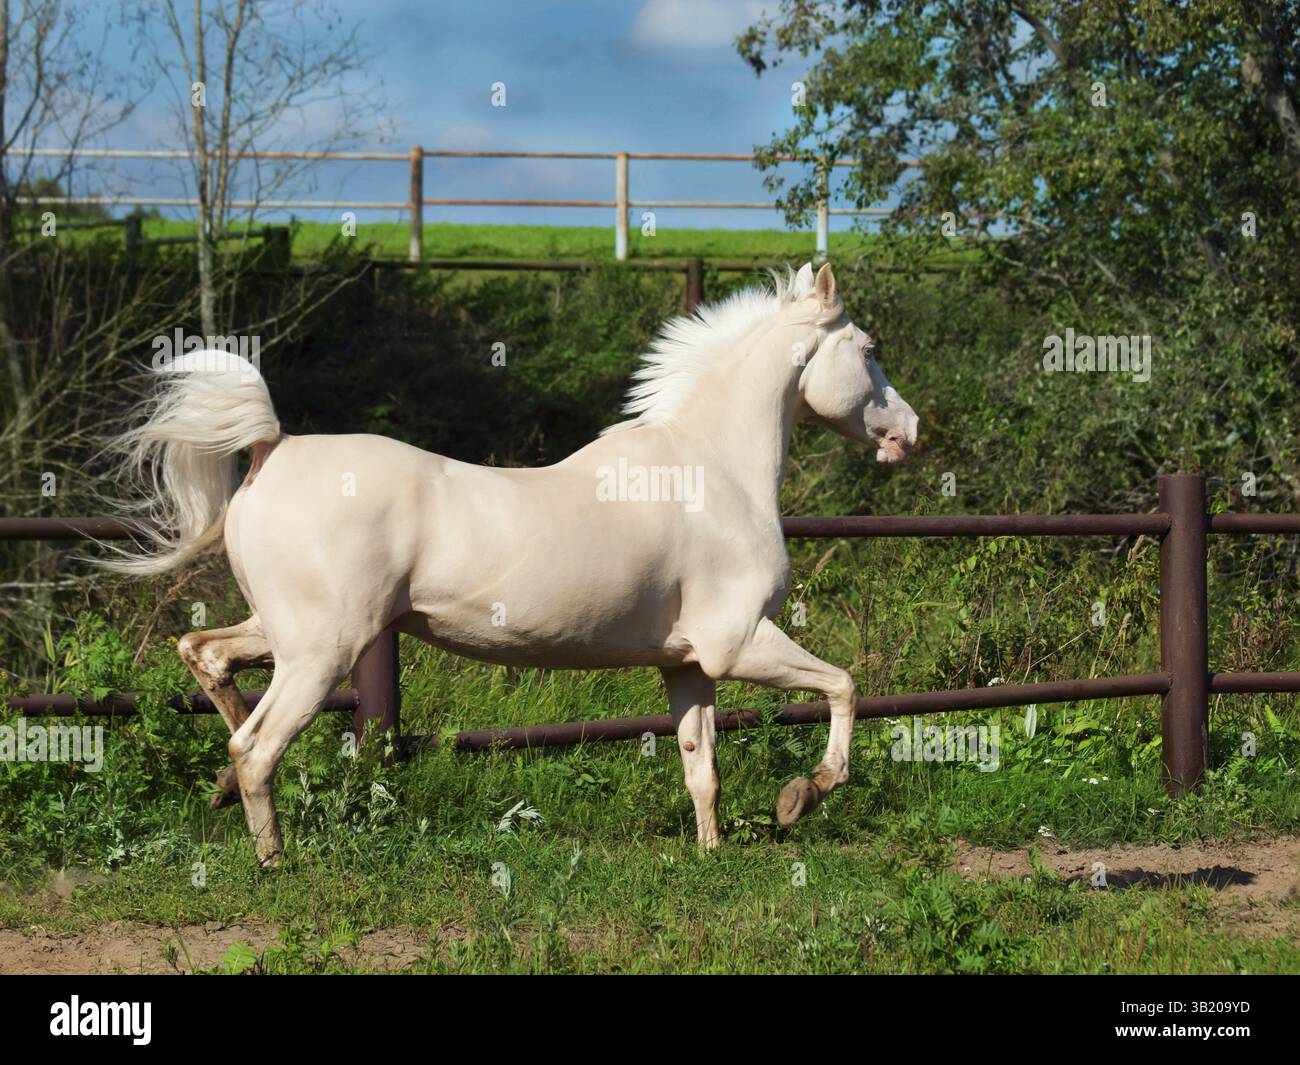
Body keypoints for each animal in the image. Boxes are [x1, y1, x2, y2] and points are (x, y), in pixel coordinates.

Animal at [102, 262, 918, 865]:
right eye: (868, 347)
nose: (908, 431)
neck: (711, 470)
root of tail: (272, 449)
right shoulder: (740, 641)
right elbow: (844, 687)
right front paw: (801, 797)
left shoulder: (688, 664)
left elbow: (701, 768)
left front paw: (712, 853)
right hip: (321, 652)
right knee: (255, 746)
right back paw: (275, 861)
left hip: (288, 634)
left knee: (205, 655)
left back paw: (217, 789)